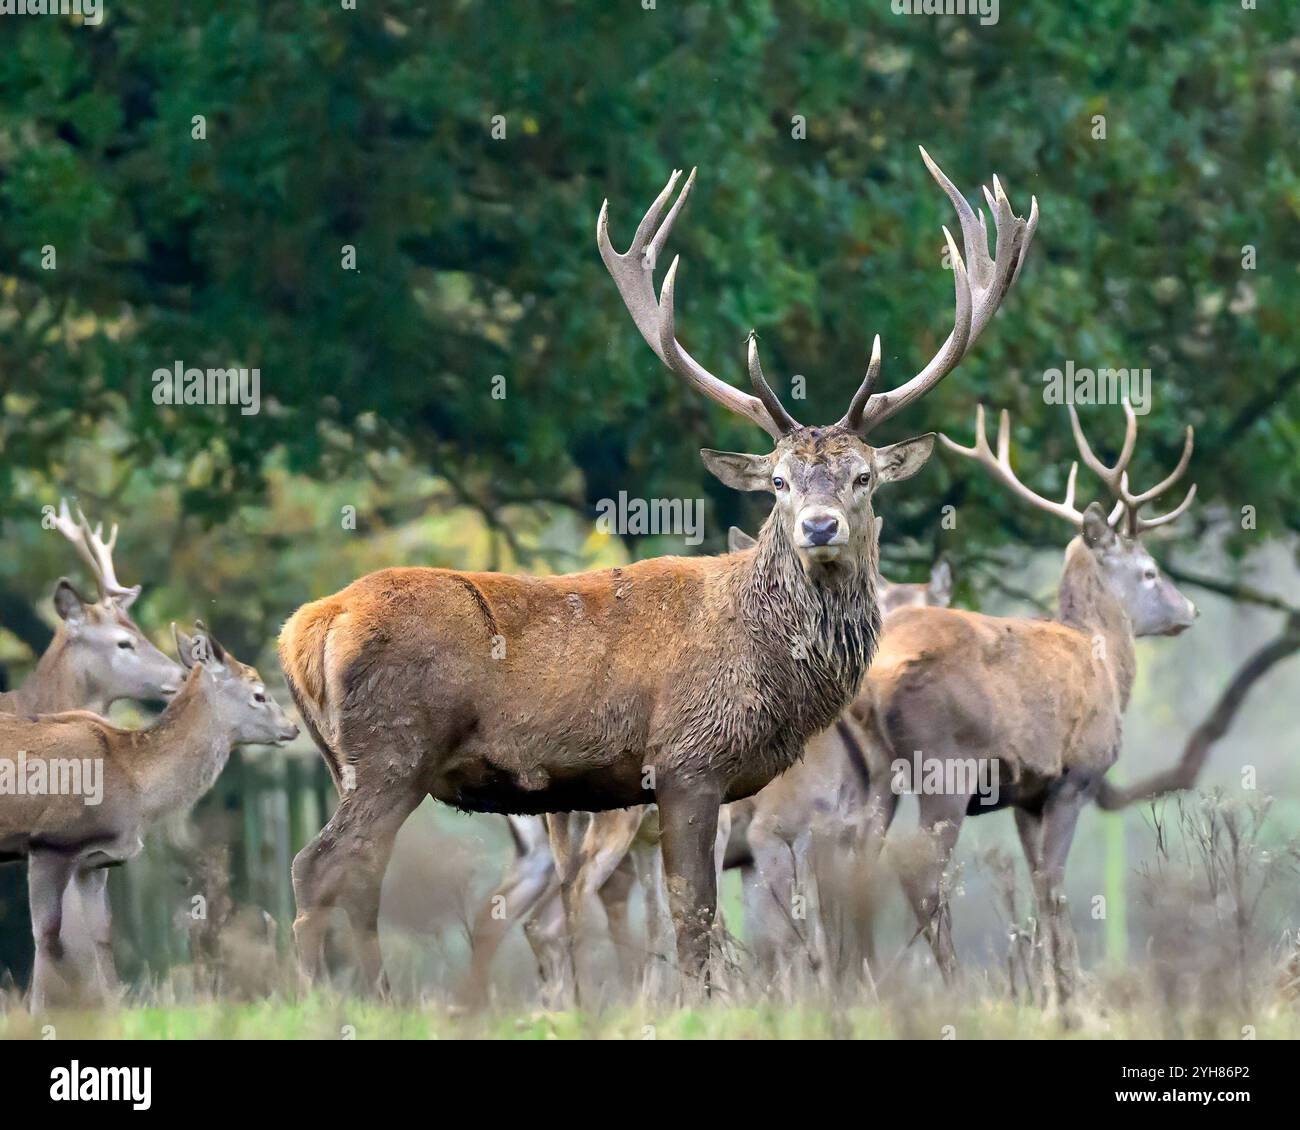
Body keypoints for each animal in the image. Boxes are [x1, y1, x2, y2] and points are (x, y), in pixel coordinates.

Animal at [0, 622, 298, 1010]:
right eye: (259, 694)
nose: (292, 727)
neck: (133, 785)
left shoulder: (95, 861)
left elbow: (101, 934)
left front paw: (115, 1009)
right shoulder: (51, 841)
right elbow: (47, 935)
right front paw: (41, 1013)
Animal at [279, 148, 1036, 994]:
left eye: (864, 477)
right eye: (778, 481)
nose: (819, 526)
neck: (770, 670)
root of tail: (303, 631)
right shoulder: (687, 761)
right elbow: (694, 916)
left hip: (348, 761)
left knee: (358, 877)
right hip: (390, 752)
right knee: (320, 866)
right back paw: (321, 995)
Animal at [846, 400, 1197, 1005]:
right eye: (1150, 571)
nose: (1189, 609)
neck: (1104, 659)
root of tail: (874, 677)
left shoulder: (1027, 795)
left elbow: (1037, 885)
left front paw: (1056, 988)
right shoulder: (1075, 776)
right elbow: (1054, 885)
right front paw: (1071, 995)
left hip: (874, 767)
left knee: (856, 863)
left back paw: (864, 985)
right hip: (945, 765)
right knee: (920, 871)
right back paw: (954, 986)